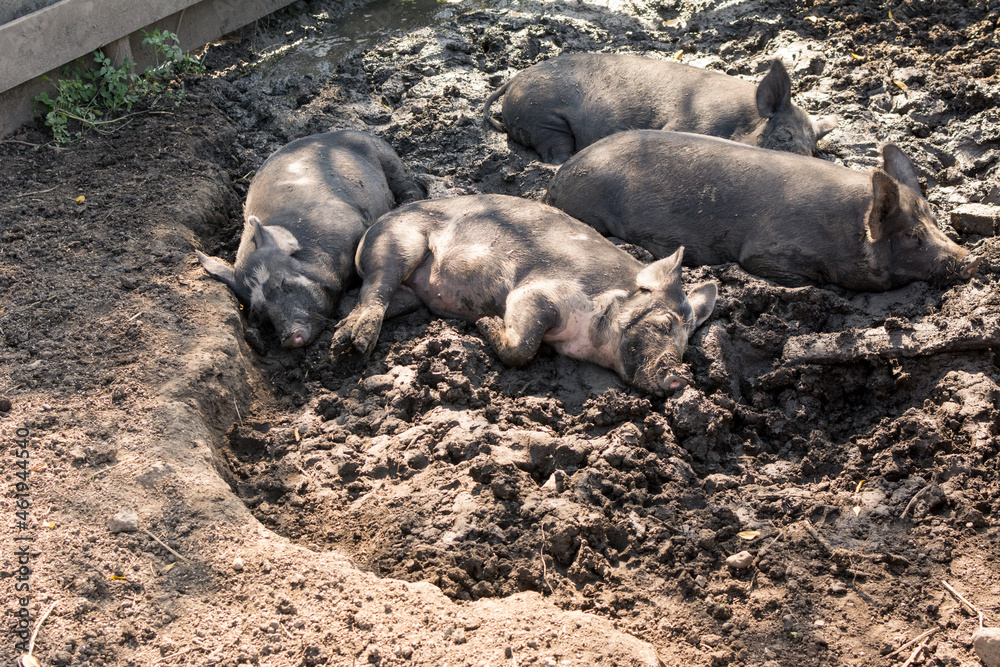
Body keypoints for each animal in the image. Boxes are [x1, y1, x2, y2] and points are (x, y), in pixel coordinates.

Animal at [332, 194, 718, 395]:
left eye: (686, 344)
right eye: (665, 323)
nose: (683, 375)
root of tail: (375, 225)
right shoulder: (537, 293)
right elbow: (524, 347)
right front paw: (486, 321)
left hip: (410, 293)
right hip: (399, 243)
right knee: (375, 290)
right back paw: (350, 344)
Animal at [482, 54, 837, 164]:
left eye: (813, 146)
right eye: (785, 135)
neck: (743, 122)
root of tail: (513, 81)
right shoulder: (687, 121)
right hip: (541, 115)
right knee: (553, 149)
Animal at [545, 131, 981, 292]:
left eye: (936, 222)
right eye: (912, 236)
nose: (971, 260)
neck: (846, 230)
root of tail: (556, 182)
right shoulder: (766, 252)